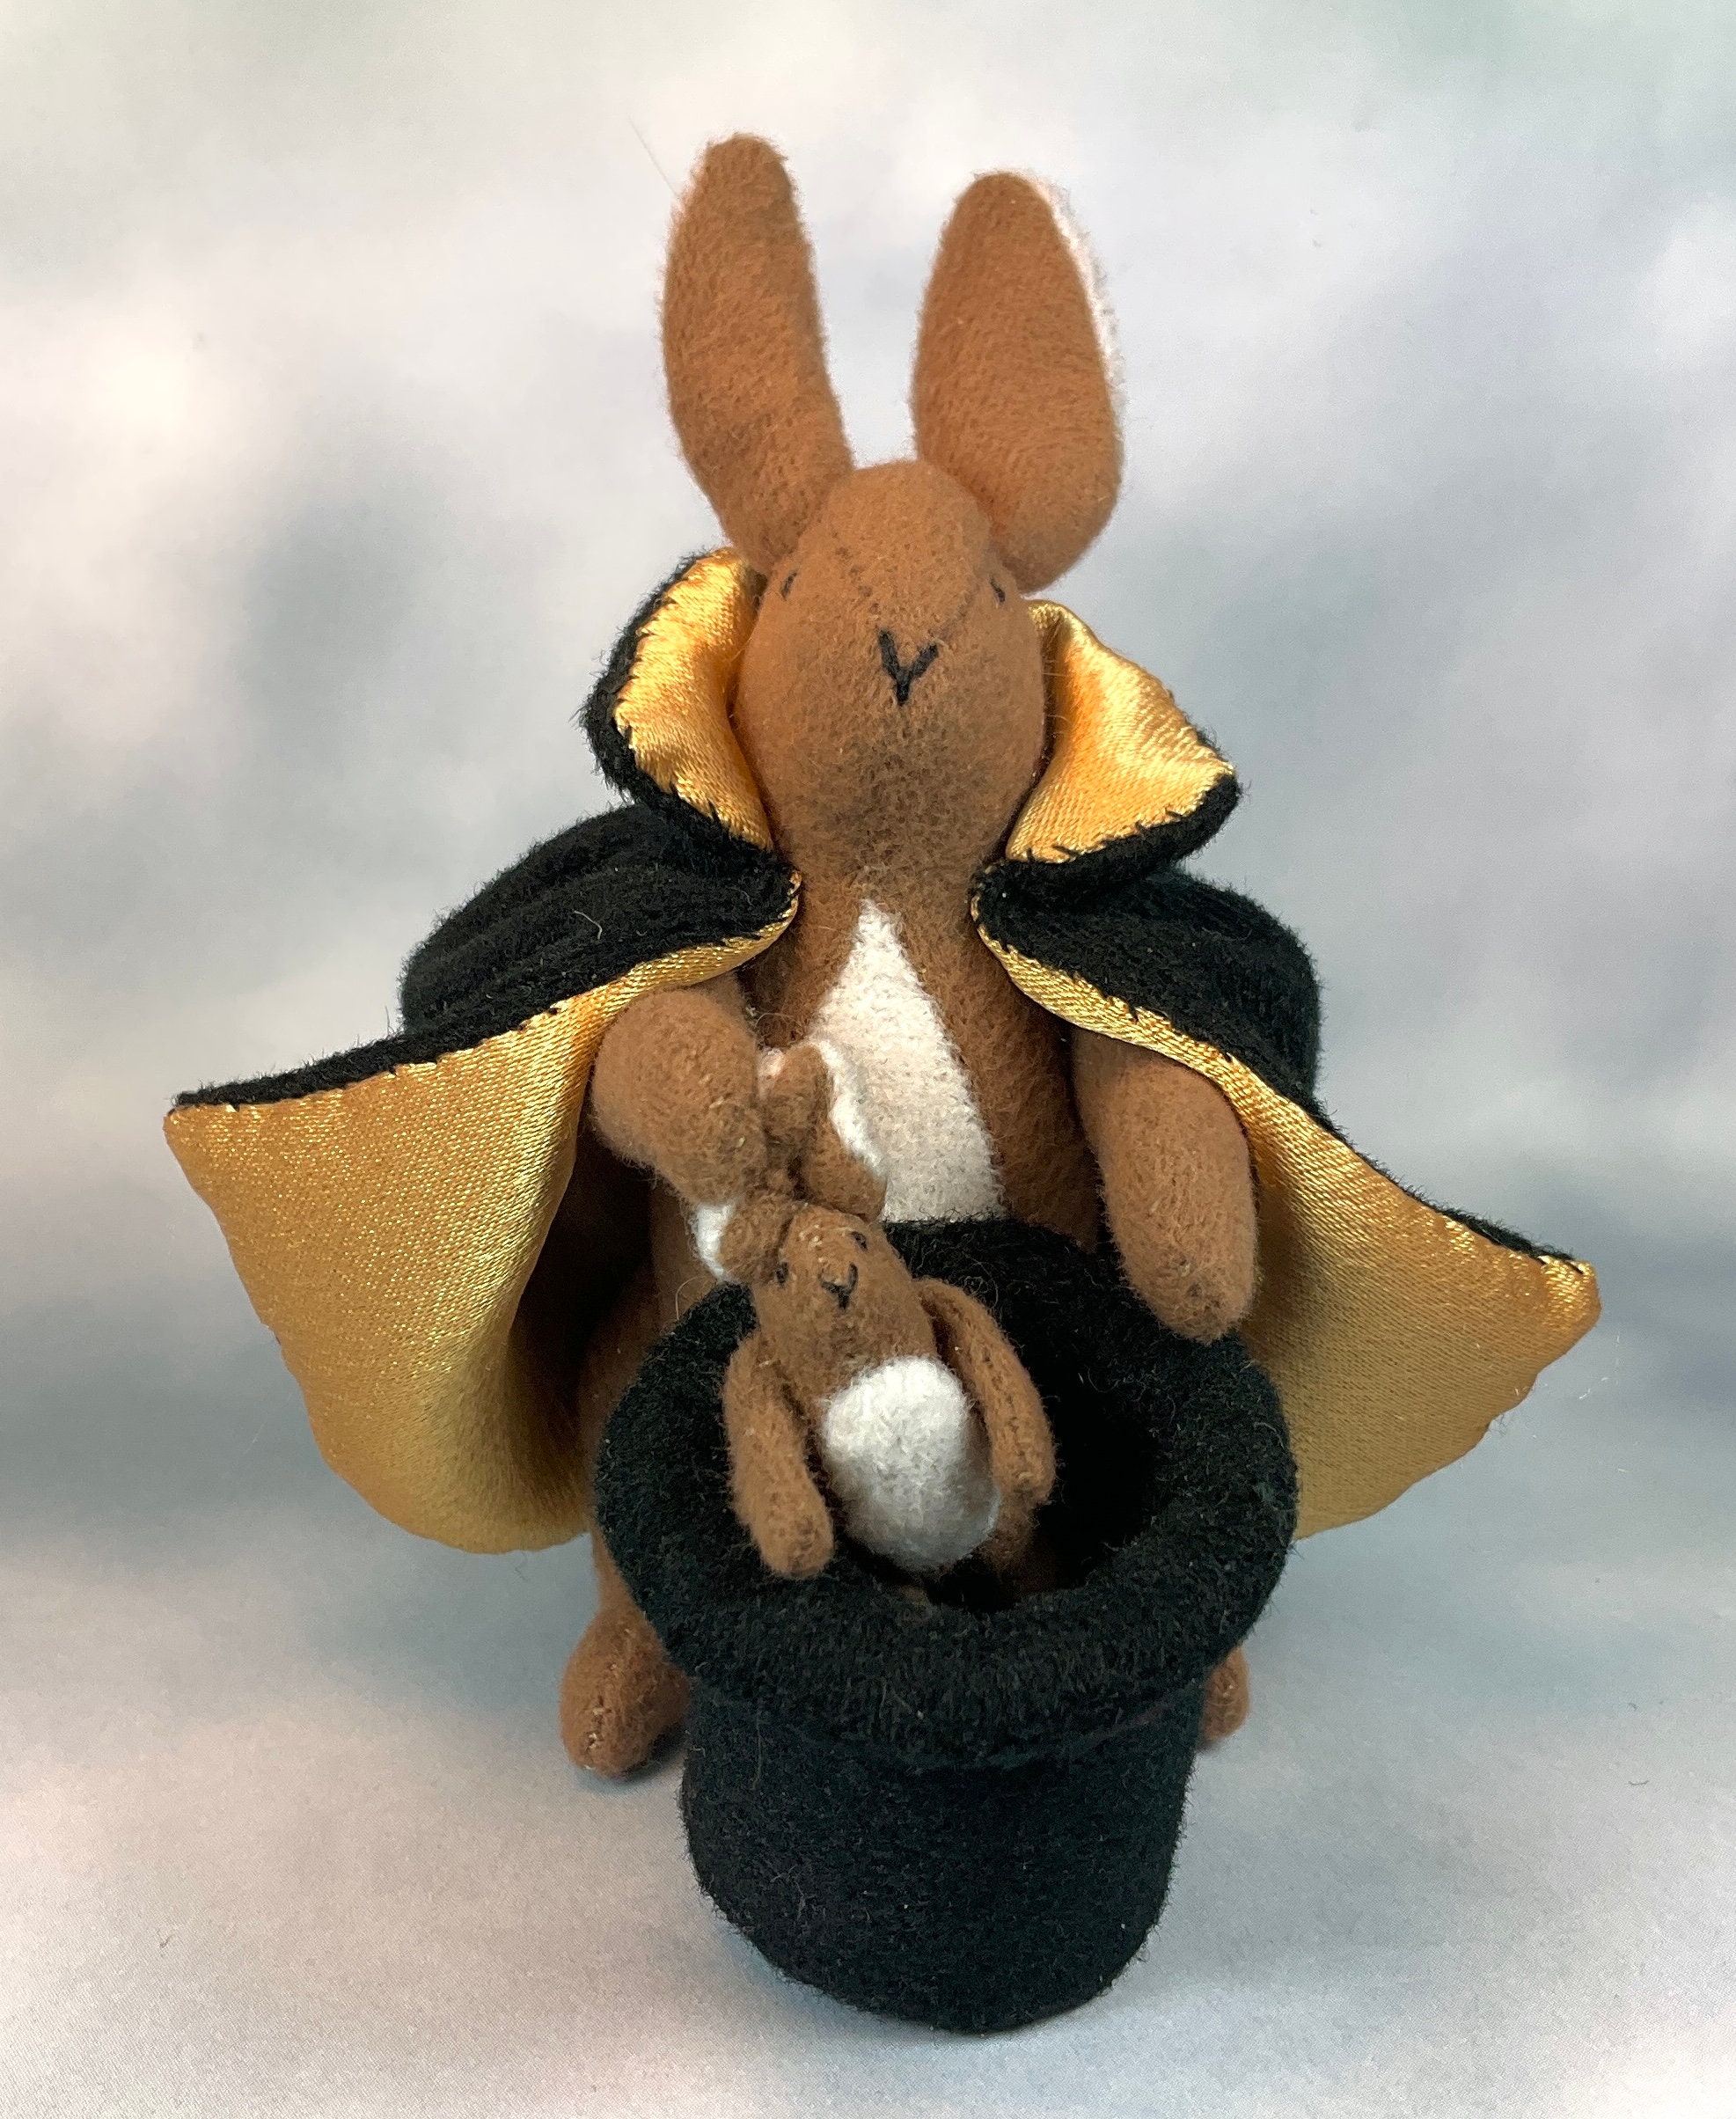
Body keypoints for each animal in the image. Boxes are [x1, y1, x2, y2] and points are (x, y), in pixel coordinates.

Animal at [558, 136, 1258, 1779]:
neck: (886, 873)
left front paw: (1201, 1272)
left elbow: (1150, 1099)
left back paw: (1210, 1693)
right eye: (803, 582)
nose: (904, 643)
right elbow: (645, 1044)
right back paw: (620, 1694)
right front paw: (722, 1120)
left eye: (996, 589)